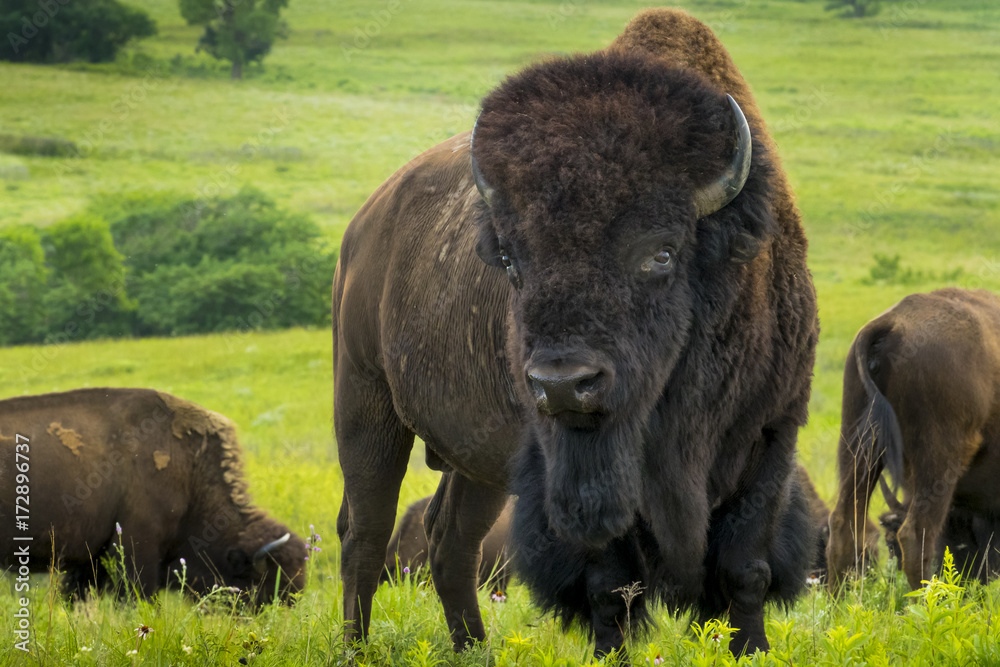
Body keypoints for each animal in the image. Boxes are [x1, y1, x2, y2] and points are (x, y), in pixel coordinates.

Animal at [334, 8, 818, 657]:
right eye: (510, 259)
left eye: (662, 252)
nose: (563, 384)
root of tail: (365, 223)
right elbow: (609, 583)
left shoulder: (770, 434)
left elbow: (747, 568)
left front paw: (752, 650)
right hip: (366, 406)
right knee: (364, 533)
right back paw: (355, 648)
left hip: (476, 460)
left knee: (449, 540)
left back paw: (474, 649)